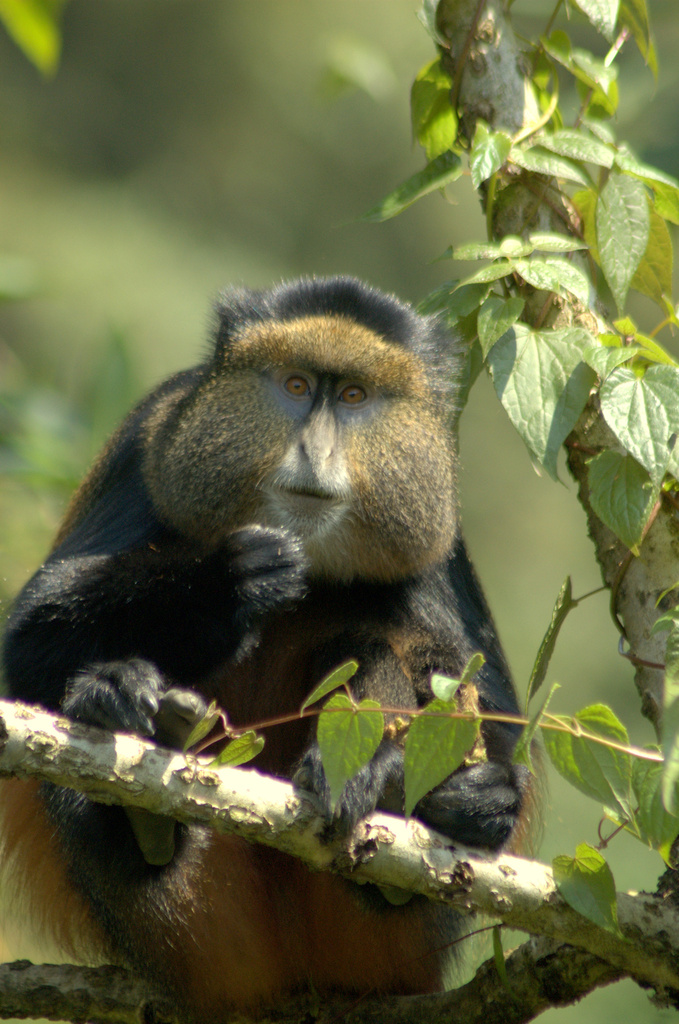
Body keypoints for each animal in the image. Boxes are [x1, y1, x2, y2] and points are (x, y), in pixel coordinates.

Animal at [0, 276, 530, 1022]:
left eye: (353, 397)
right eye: (296, 384)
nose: (315, 451)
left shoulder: (435, 526)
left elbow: (493, 712)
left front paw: (480, 797)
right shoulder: (151, 440)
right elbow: (29, 641)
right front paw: (224, 586)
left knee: (368, 639)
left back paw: (390, 819)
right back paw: (134, 784)